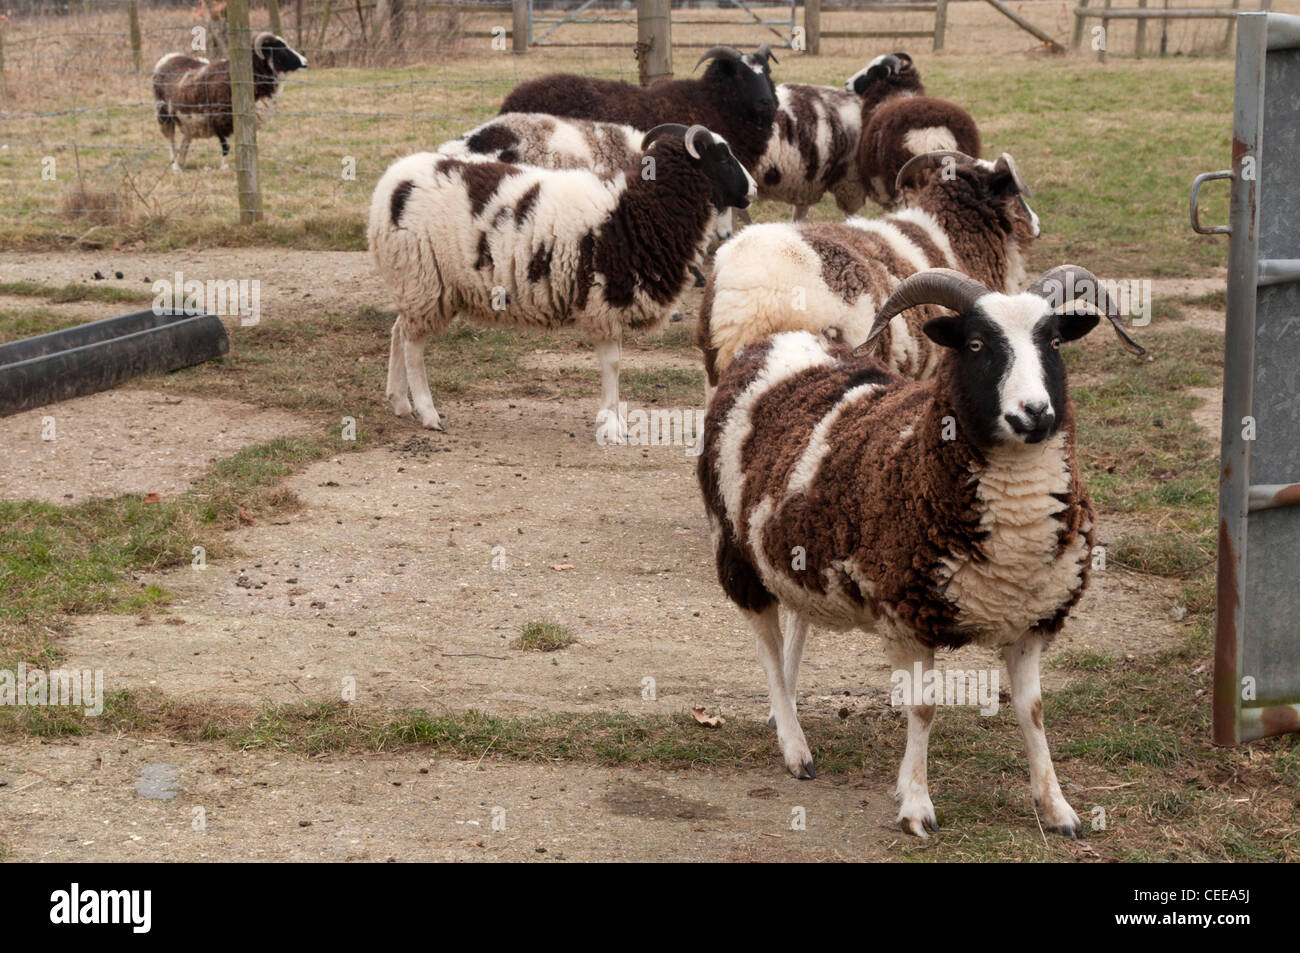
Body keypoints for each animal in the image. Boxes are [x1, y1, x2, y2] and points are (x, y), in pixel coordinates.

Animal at [151, 32, 307, 172]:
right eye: (280, 47)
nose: (305, 62)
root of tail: (167, 58)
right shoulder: (220, 119)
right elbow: (226, 146)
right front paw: (225, 168)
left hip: (188, 120)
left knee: (186, 139)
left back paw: (182, 162)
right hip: (164, 115)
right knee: (170, 140)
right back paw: (176, 167)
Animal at [369, 124, 756, 439]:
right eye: (723, 155)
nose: (752, 188)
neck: (638, 208)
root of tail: (391, 181)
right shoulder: (603, 300)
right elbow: (613, 364)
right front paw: (611, 425)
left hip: (416, 282)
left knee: (399, 330)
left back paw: (400, 402)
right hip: (422, 276)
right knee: (413, 345)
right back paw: (428, 413)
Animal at [697, 264, 1126, 838]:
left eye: (1053, 342)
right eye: (975, 343)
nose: (1034, 414)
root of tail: (777, 340)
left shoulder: (1034, 618)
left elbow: (1032, 711)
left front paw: (1057, 808)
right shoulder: (908, 616)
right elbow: (922, 710)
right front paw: (917, 808)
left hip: (793, 547)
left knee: (798, 621)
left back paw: (782, 707)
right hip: (736, 550)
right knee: (766, 642)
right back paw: (794, 747)